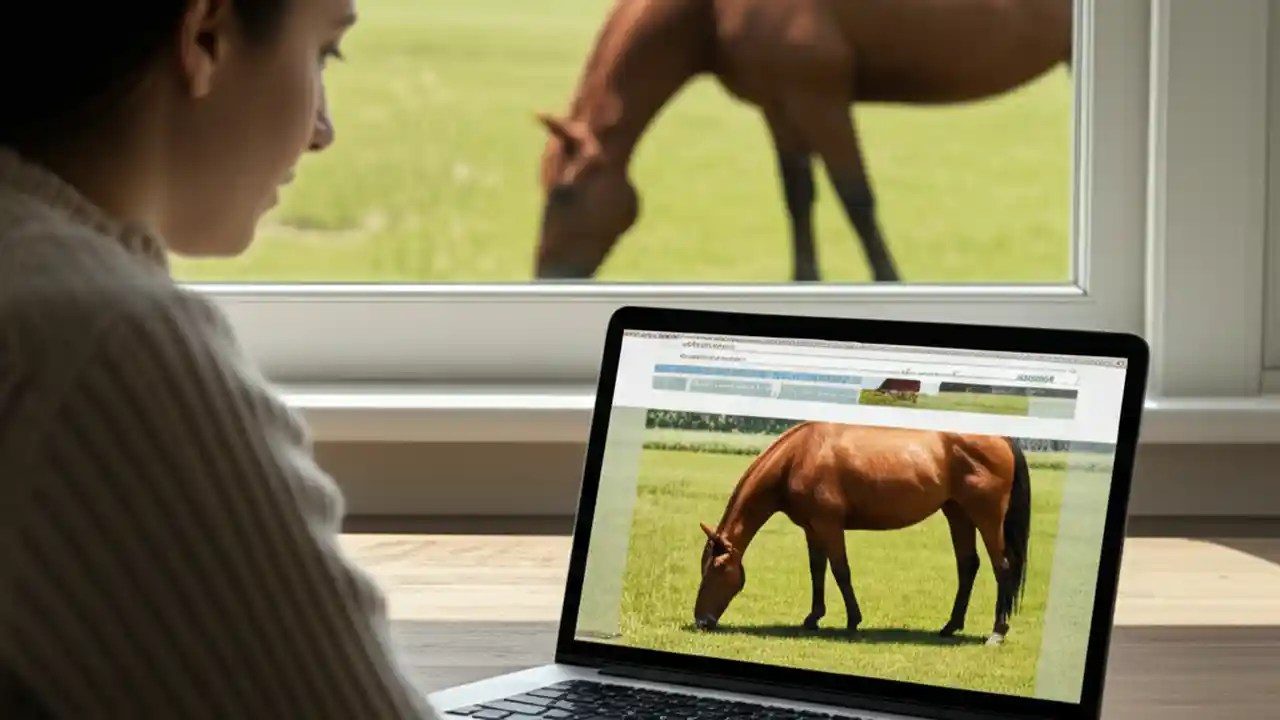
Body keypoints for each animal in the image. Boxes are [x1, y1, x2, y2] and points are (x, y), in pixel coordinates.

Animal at [535, 0, 1073, 282]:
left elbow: (857, 201)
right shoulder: (780, 108)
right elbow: (798, 197)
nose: (546, 276)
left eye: (563, 192)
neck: (711, 10)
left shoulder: (822, 103)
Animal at [693, 422, 1032, 646]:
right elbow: (817, 571)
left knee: (1002, 567)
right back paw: (950, 626)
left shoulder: (829, 526)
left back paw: (997, 632)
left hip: (986, 517)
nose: (701, 621)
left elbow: (841, 572)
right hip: (958, 513)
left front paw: (853, 621)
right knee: (968, 565)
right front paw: (813, 618)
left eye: (719, 568)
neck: (799, 456)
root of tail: (1002, 437)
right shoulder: (812, 529)